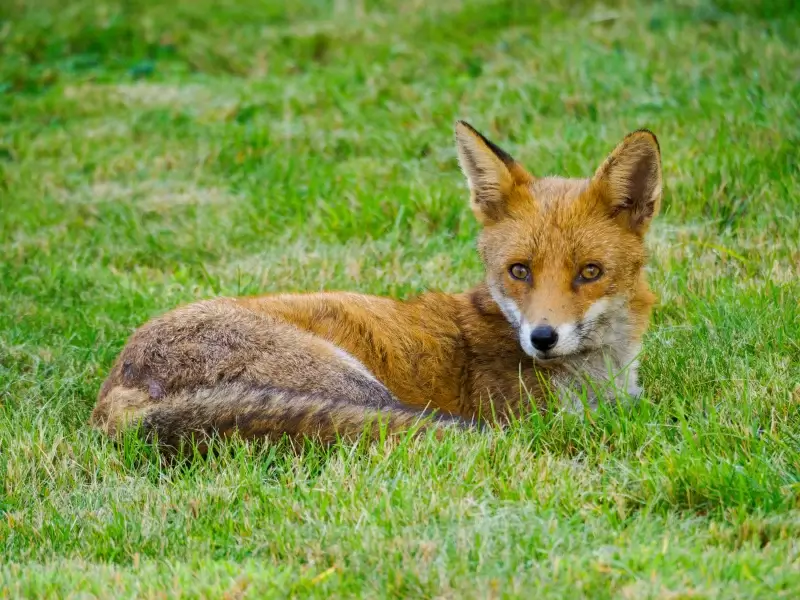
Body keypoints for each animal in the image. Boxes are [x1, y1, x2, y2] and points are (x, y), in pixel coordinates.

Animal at [90, 121, 662, 450]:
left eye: (589, 272)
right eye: (519, 271)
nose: (542, 338)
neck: (600, 379)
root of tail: (116, 388)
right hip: (357, 386)